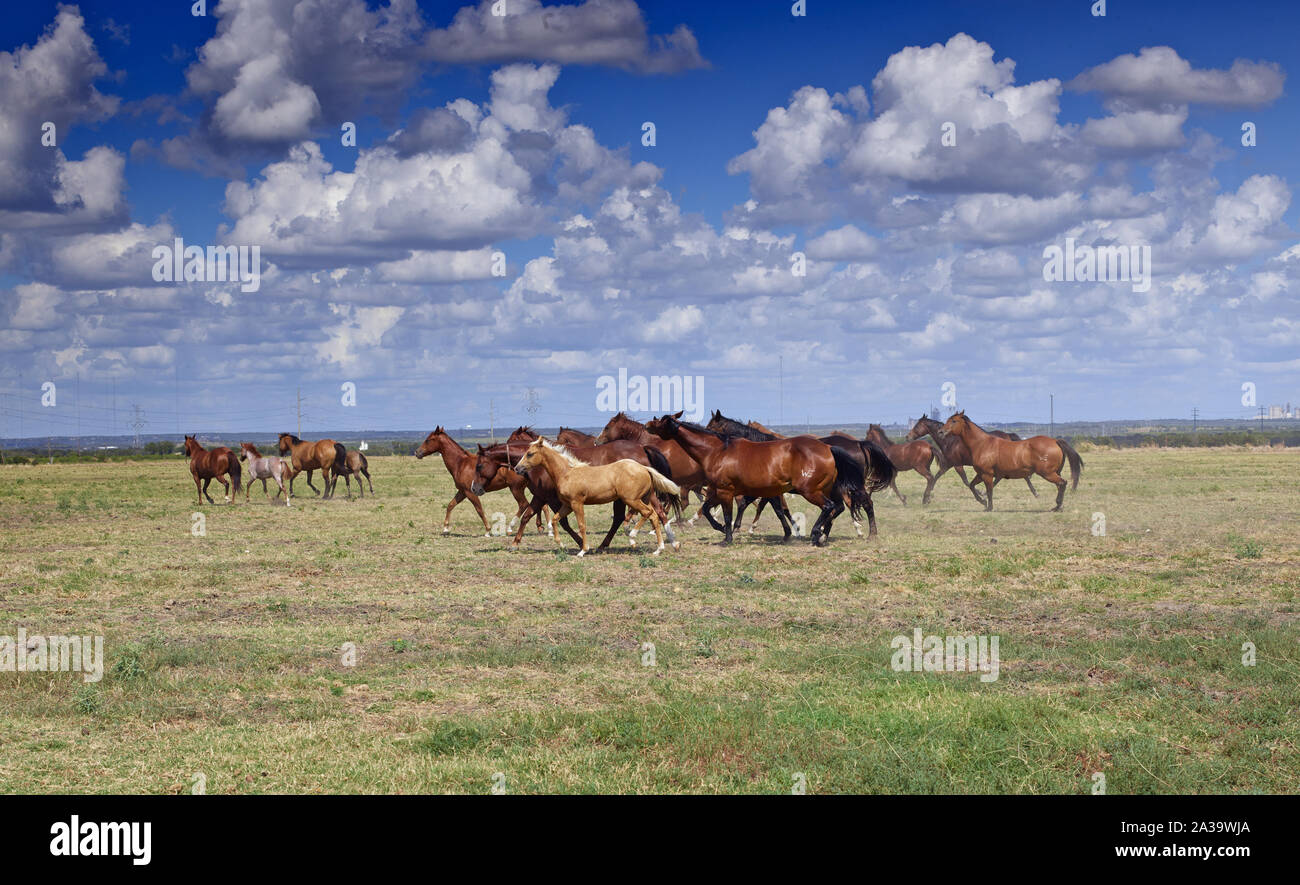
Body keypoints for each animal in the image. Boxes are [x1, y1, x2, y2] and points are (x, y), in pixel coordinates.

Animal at [475, 428, 679, 549]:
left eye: (479, 466)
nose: (474, 488)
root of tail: (642, 448)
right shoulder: (540, 497)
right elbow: (527, 516)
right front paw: (515, 543)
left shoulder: (553, 498)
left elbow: (563, 522)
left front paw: (580, 543)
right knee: (641, 514)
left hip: (634, 496)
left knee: (651, 513)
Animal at [646, 414, 873, 546]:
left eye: (661, 420)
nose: (647, 425)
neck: (717, 451)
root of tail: (829, 448)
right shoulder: (722, 491)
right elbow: (708, 510)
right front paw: (722, 529)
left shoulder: (726, 491)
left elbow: (727, 514)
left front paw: (728, 537)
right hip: (825, 489)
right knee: (836, 508)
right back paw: (824, 535)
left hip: (811, 491)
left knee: (831, 507)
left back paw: (819, 534)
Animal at [938, 411, 1083, 511]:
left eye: (954, 421)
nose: (940, 432)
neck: (982, 444)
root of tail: (1055, 441)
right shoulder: (981, 474)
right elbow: (972, 486)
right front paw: (983, 502)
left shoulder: (987, 474)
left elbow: (989, 490)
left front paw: (989, 507)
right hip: (1053, 473)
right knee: (1060, 485)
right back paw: (1058, 506)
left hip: (1047, 473)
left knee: (1062, 483)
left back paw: (1057, 506)